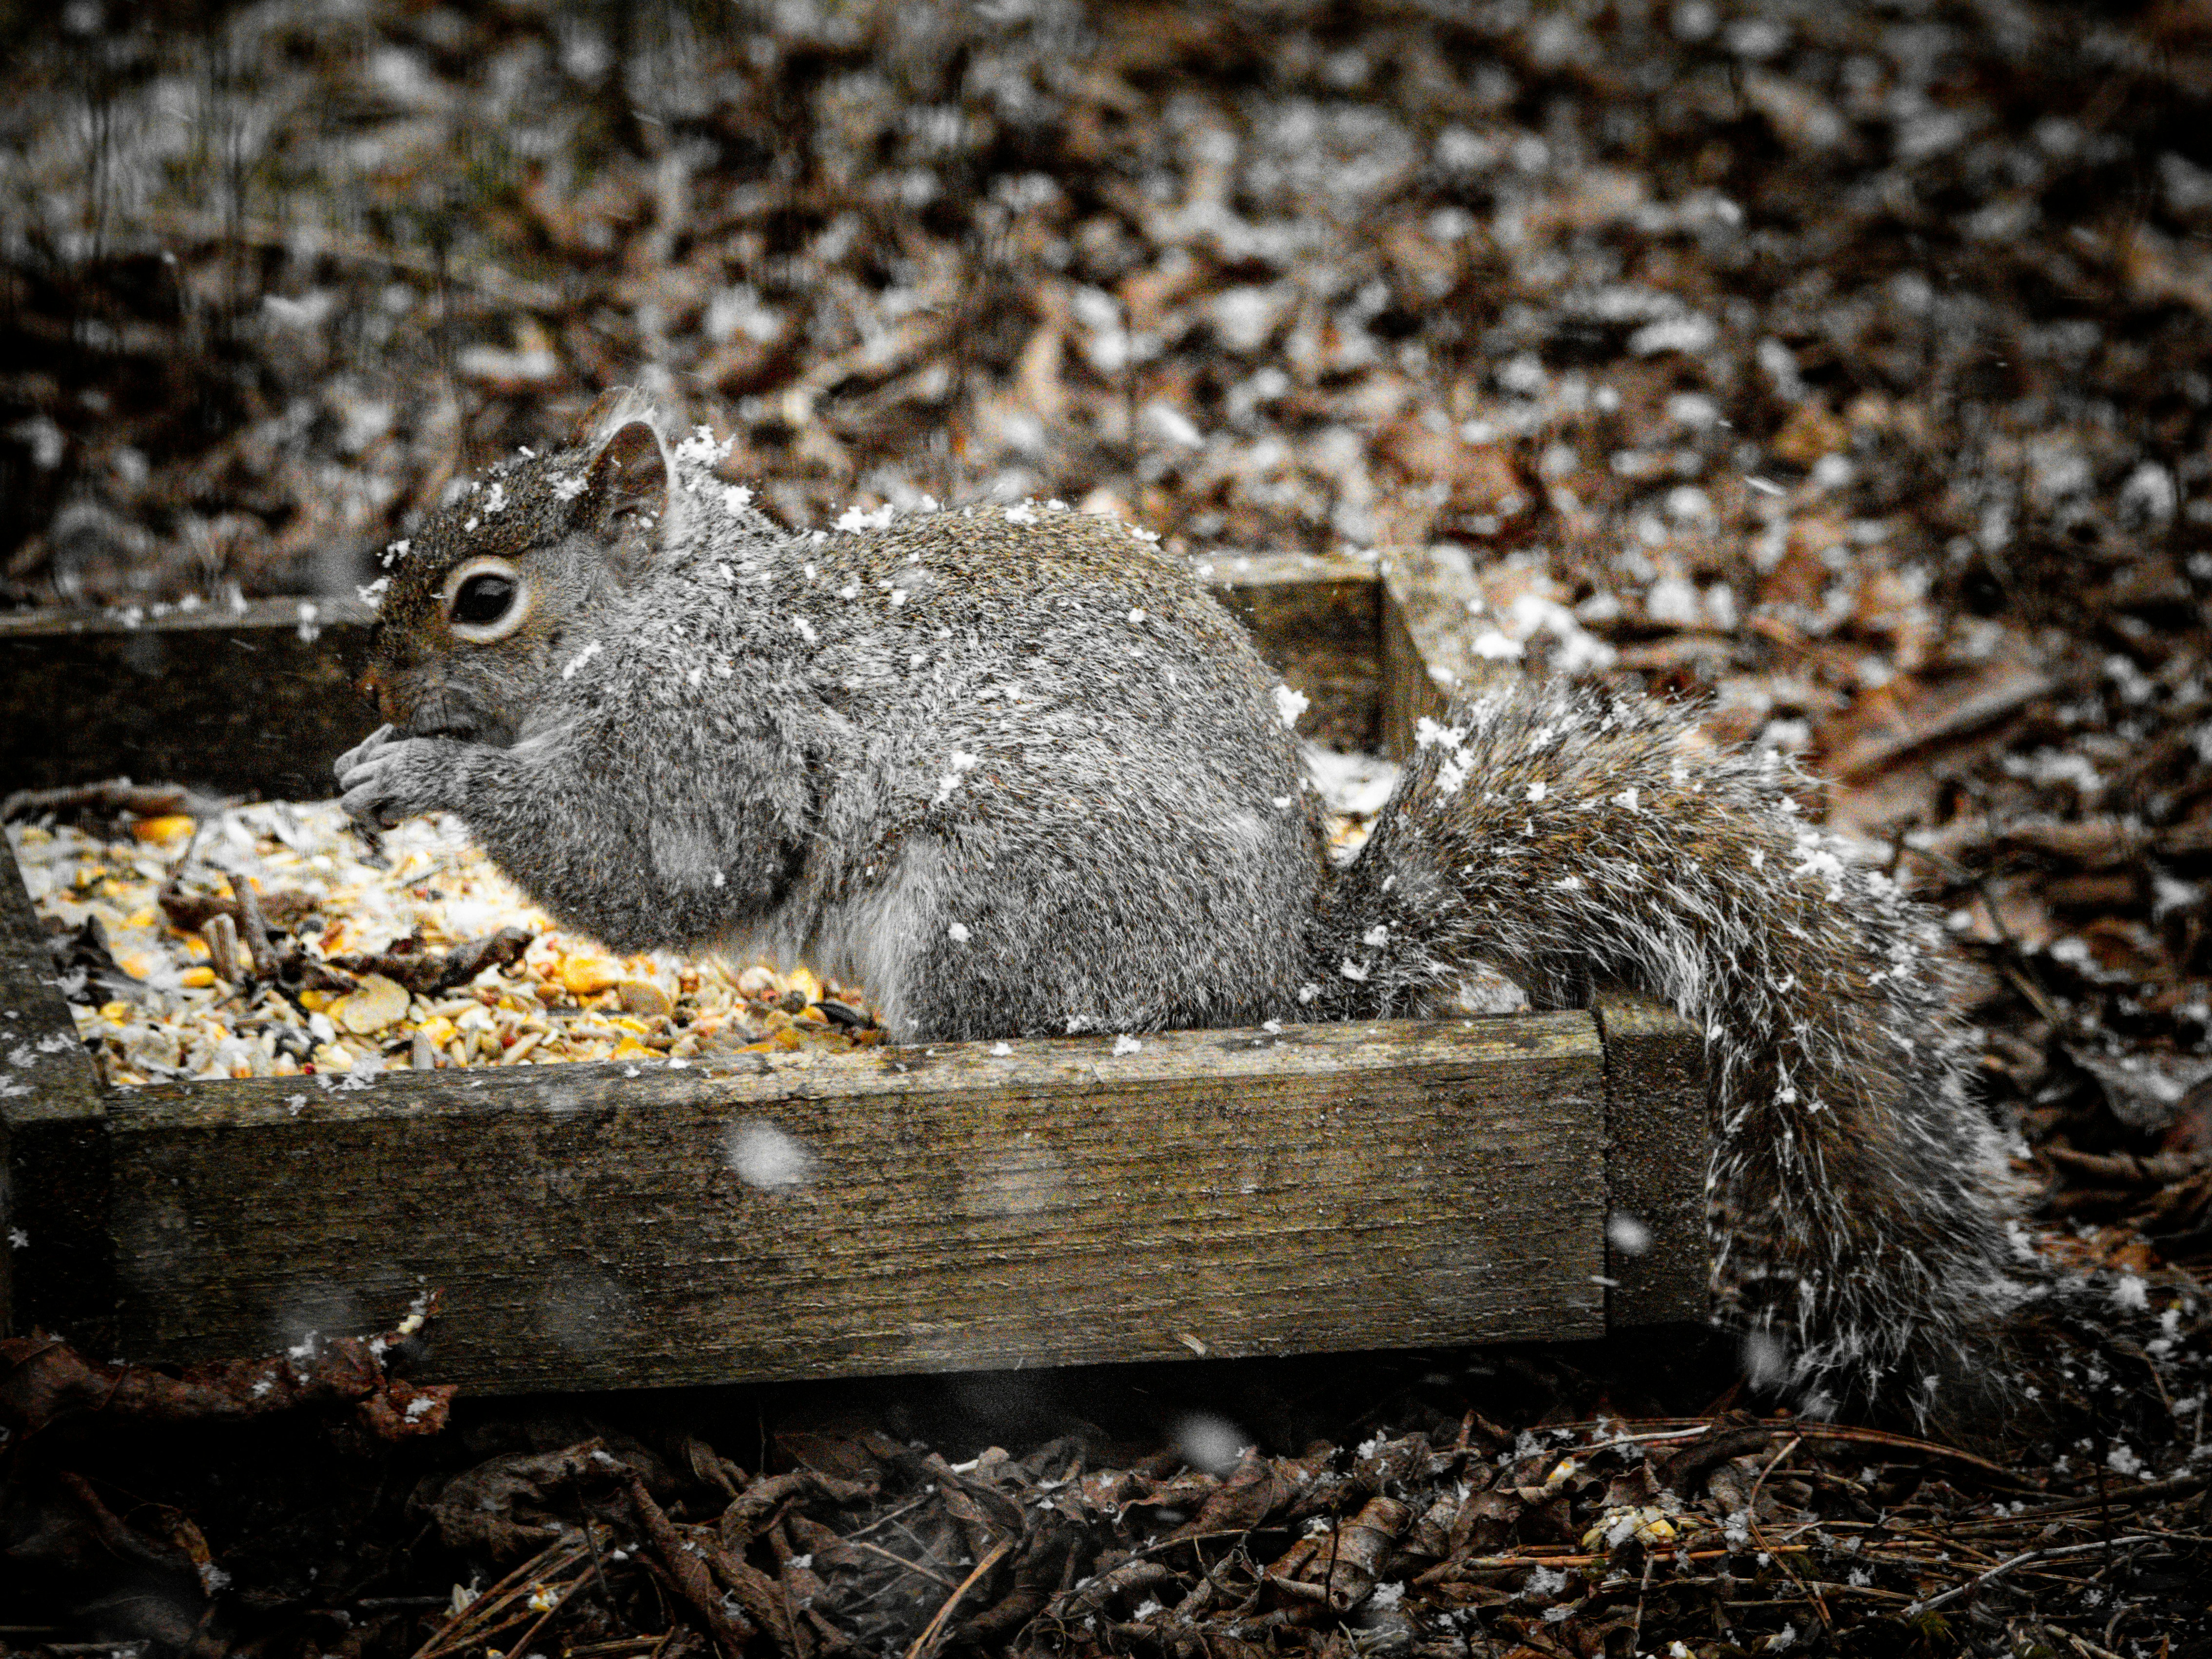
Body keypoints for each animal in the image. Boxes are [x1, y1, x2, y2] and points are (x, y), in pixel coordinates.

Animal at [337, 389, 2030, 1425]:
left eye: (482, 597)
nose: (379, 687)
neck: (667, 617)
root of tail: (1276, 987)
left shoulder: (711, 741)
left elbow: (645, 866)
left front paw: (420, 772)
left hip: (997, 900)